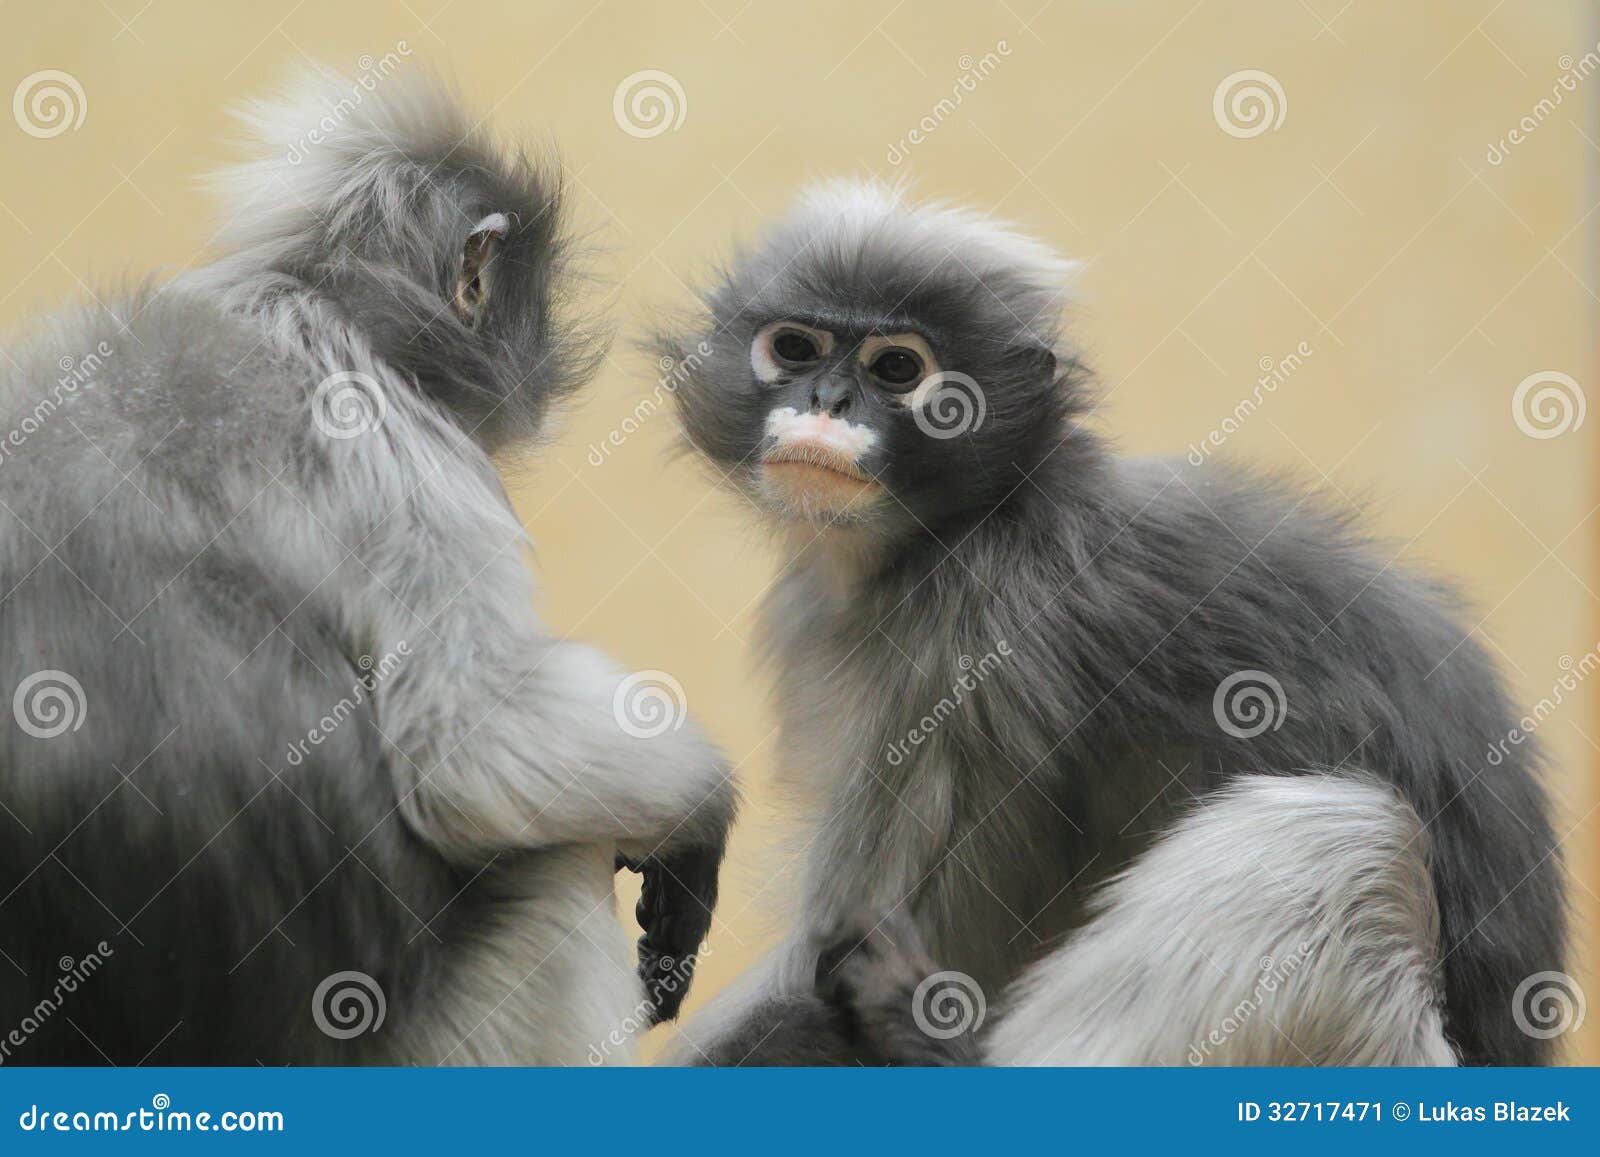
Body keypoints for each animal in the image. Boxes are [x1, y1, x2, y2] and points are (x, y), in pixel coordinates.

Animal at [0, 70, 733, 1065]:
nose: (542, 353)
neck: (293, 300)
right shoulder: (392, 430)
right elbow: (470, 742)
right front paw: (702, 818)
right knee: (551, 865)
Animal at [655, 180, 1565, 1067]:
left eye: (898, 367)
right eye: (795, 348)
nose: (828, 398)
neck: (976, 521)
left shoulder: (977, 653)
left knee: (1341, 837)